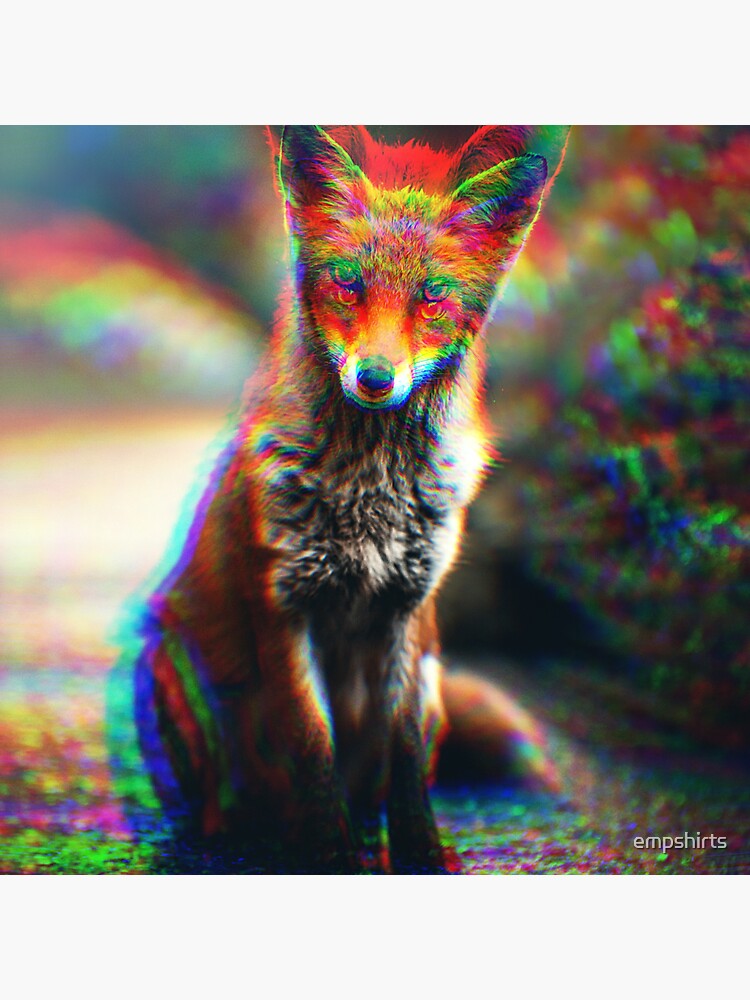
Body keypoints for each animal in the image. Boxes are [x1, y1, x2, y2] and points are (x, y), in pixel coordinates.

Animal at [133, 125, 569, 874]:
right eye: (347, 282)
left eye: (432, 295)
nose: (374, 377)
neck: (371, 494)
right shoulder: (283, 605)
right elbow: (313, 744)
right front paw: (329, 854)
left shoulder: (406, 611)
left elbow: (405, 758)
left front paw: (421, 854)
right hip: (171, 659)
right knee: (232, 799)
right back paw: (245, 835)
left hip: (433, 672)